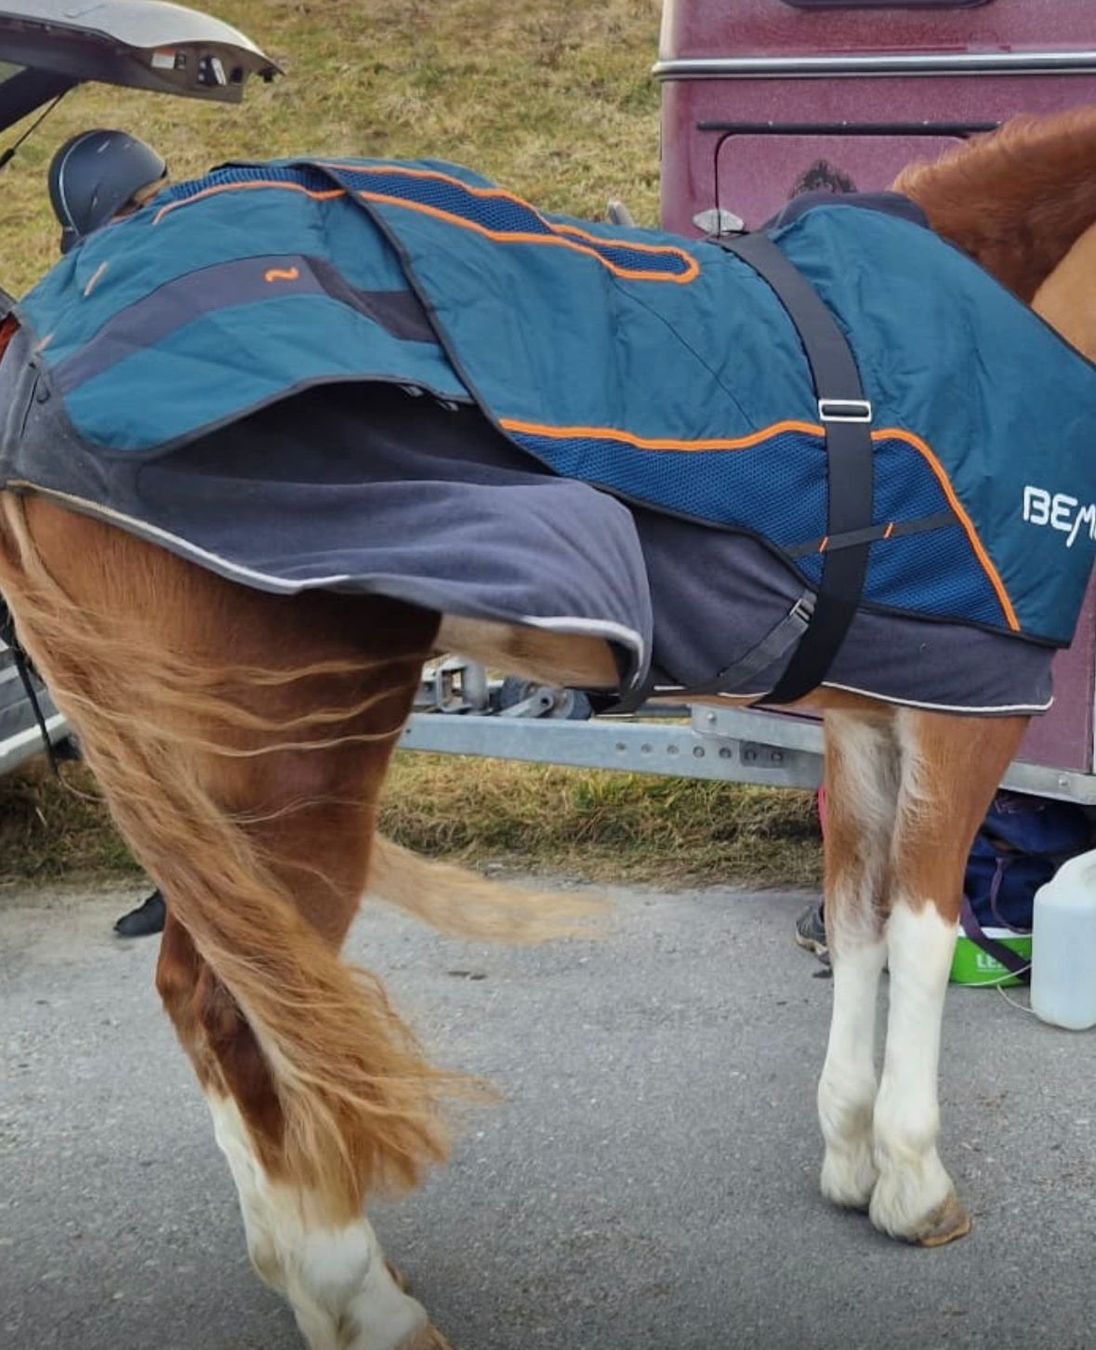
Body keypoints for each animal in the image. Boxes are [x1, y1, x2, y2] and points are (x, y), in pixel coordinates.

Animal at [2, 107, 1096, 1349]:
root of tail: (40, 357)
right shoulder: (972, 710)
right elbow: (919, 925)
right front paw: (912, 1181)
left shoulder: (875, 718)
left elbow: (856, 919)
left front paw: (851, 1158)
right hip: (292, 779)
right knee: (235, 1008)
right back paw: (358, 1292)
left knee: (212, 1004)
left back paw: (300, 1272)